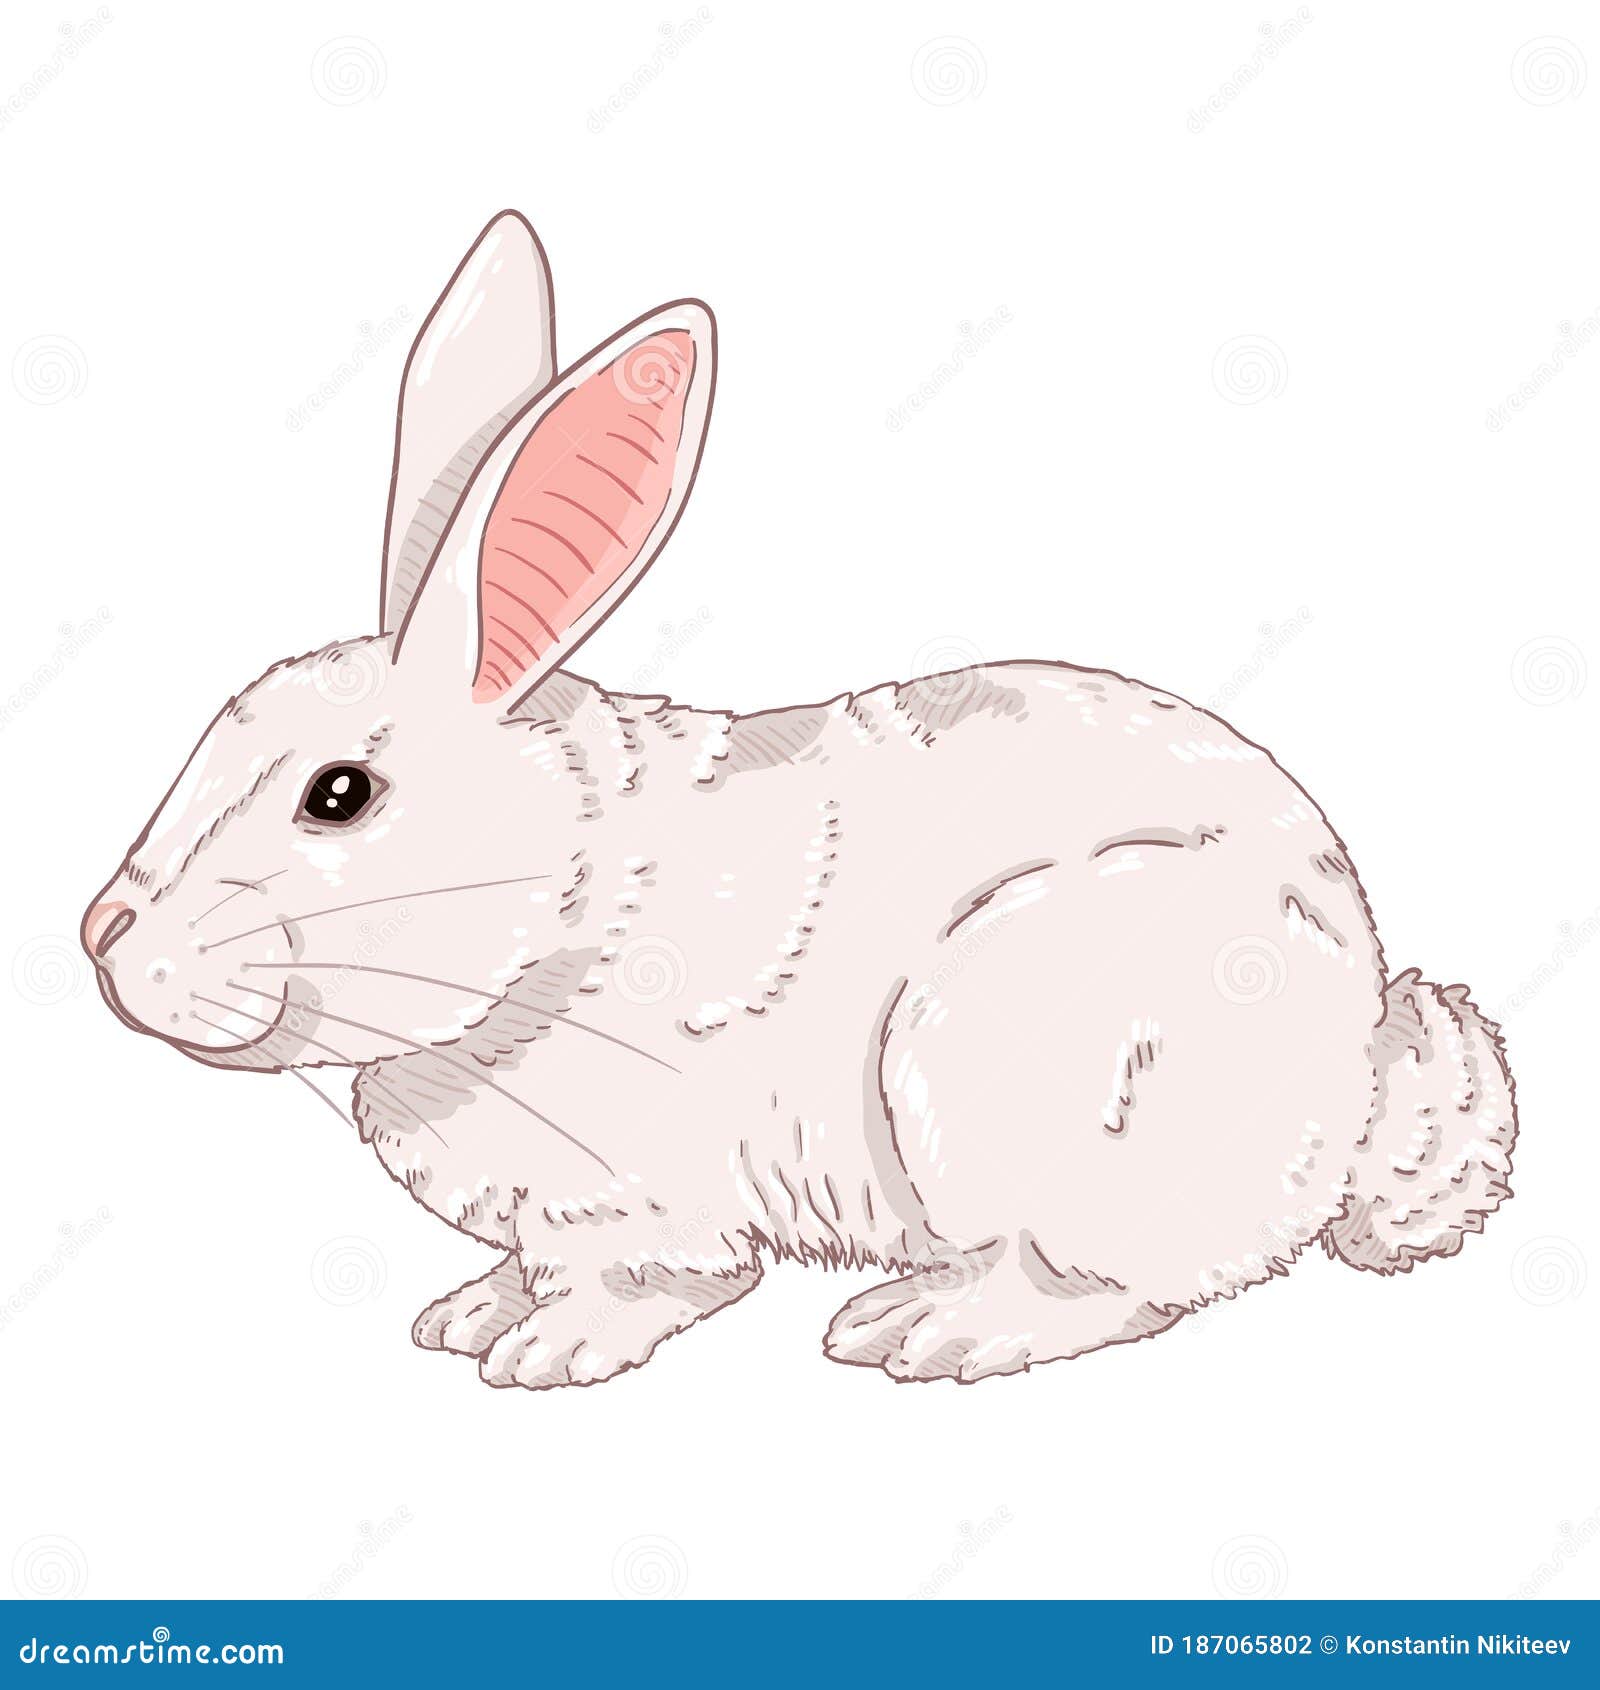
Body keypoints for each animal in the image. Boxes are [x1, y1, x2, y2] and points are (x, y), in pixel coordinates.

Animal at [81, 211, 1518, 1390]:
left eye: (340, 795)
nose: (104, 940)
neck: (564, 912)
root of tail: (1355, 1092)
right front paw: (469, 1315)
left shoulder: (642, 1201)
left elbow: (658, 1283)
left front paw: (542, 1351)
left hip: (1024, 1066)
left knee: (1124, 1282)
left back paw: (929, 1327)